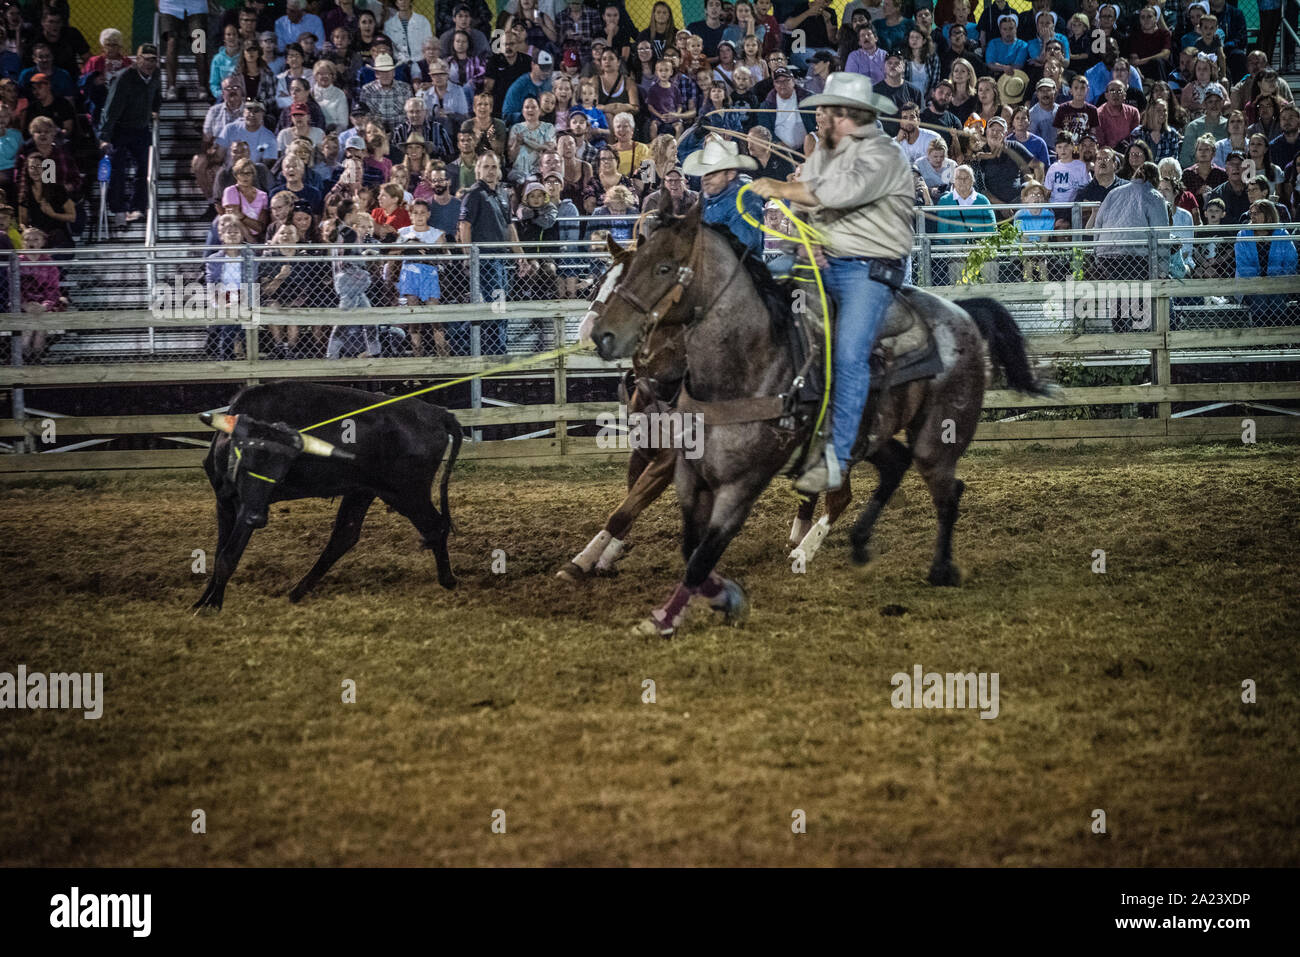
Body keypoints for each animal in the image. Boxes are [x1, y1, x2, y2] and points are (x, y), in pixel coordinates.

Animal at [193, 381, 462, 612]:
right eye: (246, 461)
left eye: (281, 472)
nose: (257, 518)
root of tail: (438, 414)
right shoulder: (224, 502)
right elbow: (219, 553)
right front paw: (203, 600)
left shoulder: (244, 507)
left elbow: (228, 556)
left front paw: (213, 605)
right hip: (364, 490)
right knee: (345, 535)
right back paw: (298, 591)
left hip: (407, 493)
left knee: (435, 526)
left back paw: (447, 579)